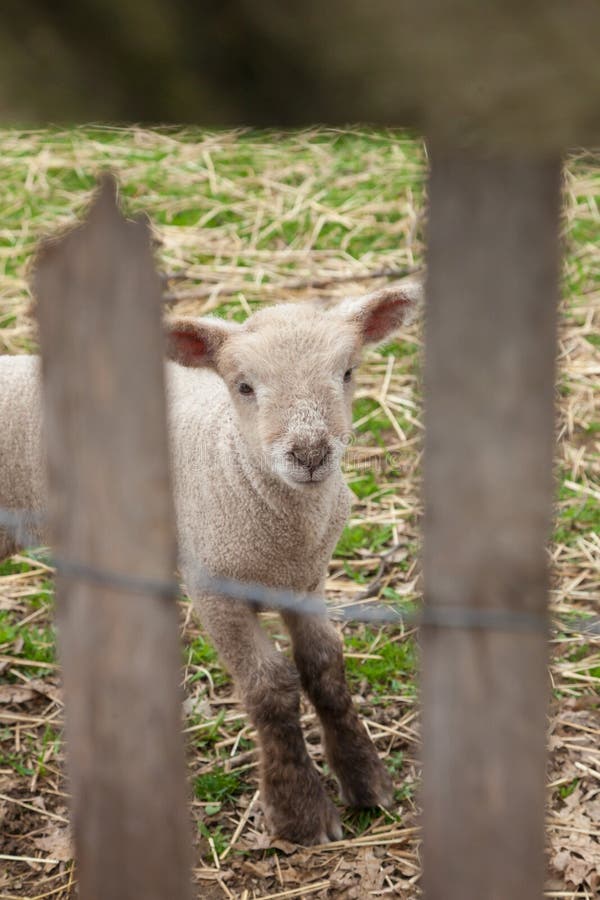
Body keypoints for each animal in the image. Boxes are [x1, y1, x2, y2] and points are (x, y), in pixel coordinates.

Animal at [0, 281, 421, 845]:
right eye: (244, 387)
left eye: (348, 372)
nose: (310, 455)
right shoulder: (214, 589)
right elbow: (269, 685)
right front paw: (300, 812)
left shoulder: (306, 581)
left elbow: (325, 666)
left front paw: (364, 778)